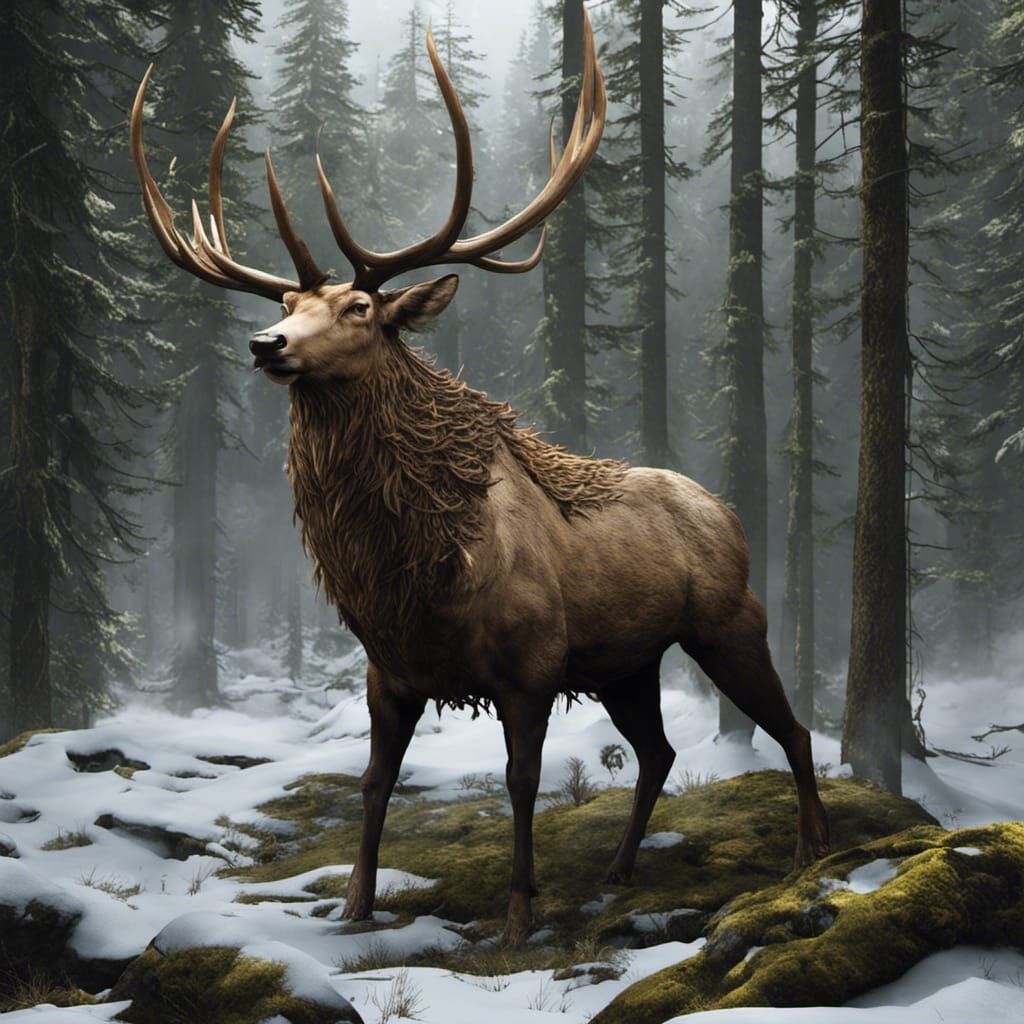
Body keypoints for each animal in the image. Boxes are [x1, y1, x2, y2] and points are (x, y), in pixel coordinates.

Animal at [130, 7, 830, 947]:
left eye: (360, 308)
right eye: (284, 305)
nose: (265, 344)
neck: (415, 576)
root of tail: (727, 510)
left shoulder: (530, 668)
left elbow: (521, 785)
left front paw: (517, 917)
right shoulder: (387, 675)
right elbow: (373, 784)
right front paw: (354, 908)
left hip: (727, 623)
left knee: (792, 727)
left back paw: (810, 850)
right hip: (628, 662)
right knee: (659, 751)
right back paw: (618, 868)